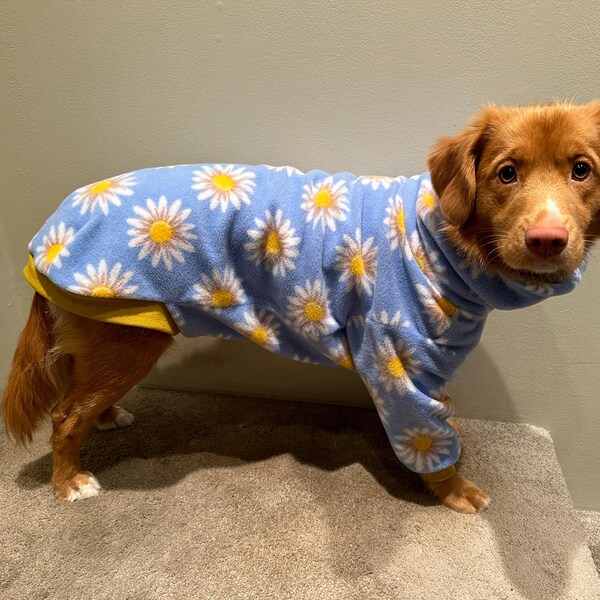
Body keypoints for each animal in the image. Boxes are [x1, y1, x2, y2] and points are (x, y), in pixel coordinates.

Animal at [3, 102, 600, 513]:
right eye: (507, 173)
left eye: (582, 170)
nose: (548, 239)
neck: (442, 239)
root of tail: (52, 225)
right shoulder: (399, 368)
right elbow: (430, 435)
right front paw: (453, 489)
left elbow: (443, 416)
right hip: (128, 337)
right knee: (64, 414)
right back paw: (70, 481)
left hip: (109, 344)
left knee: (79, 395)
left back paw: (107, 418)